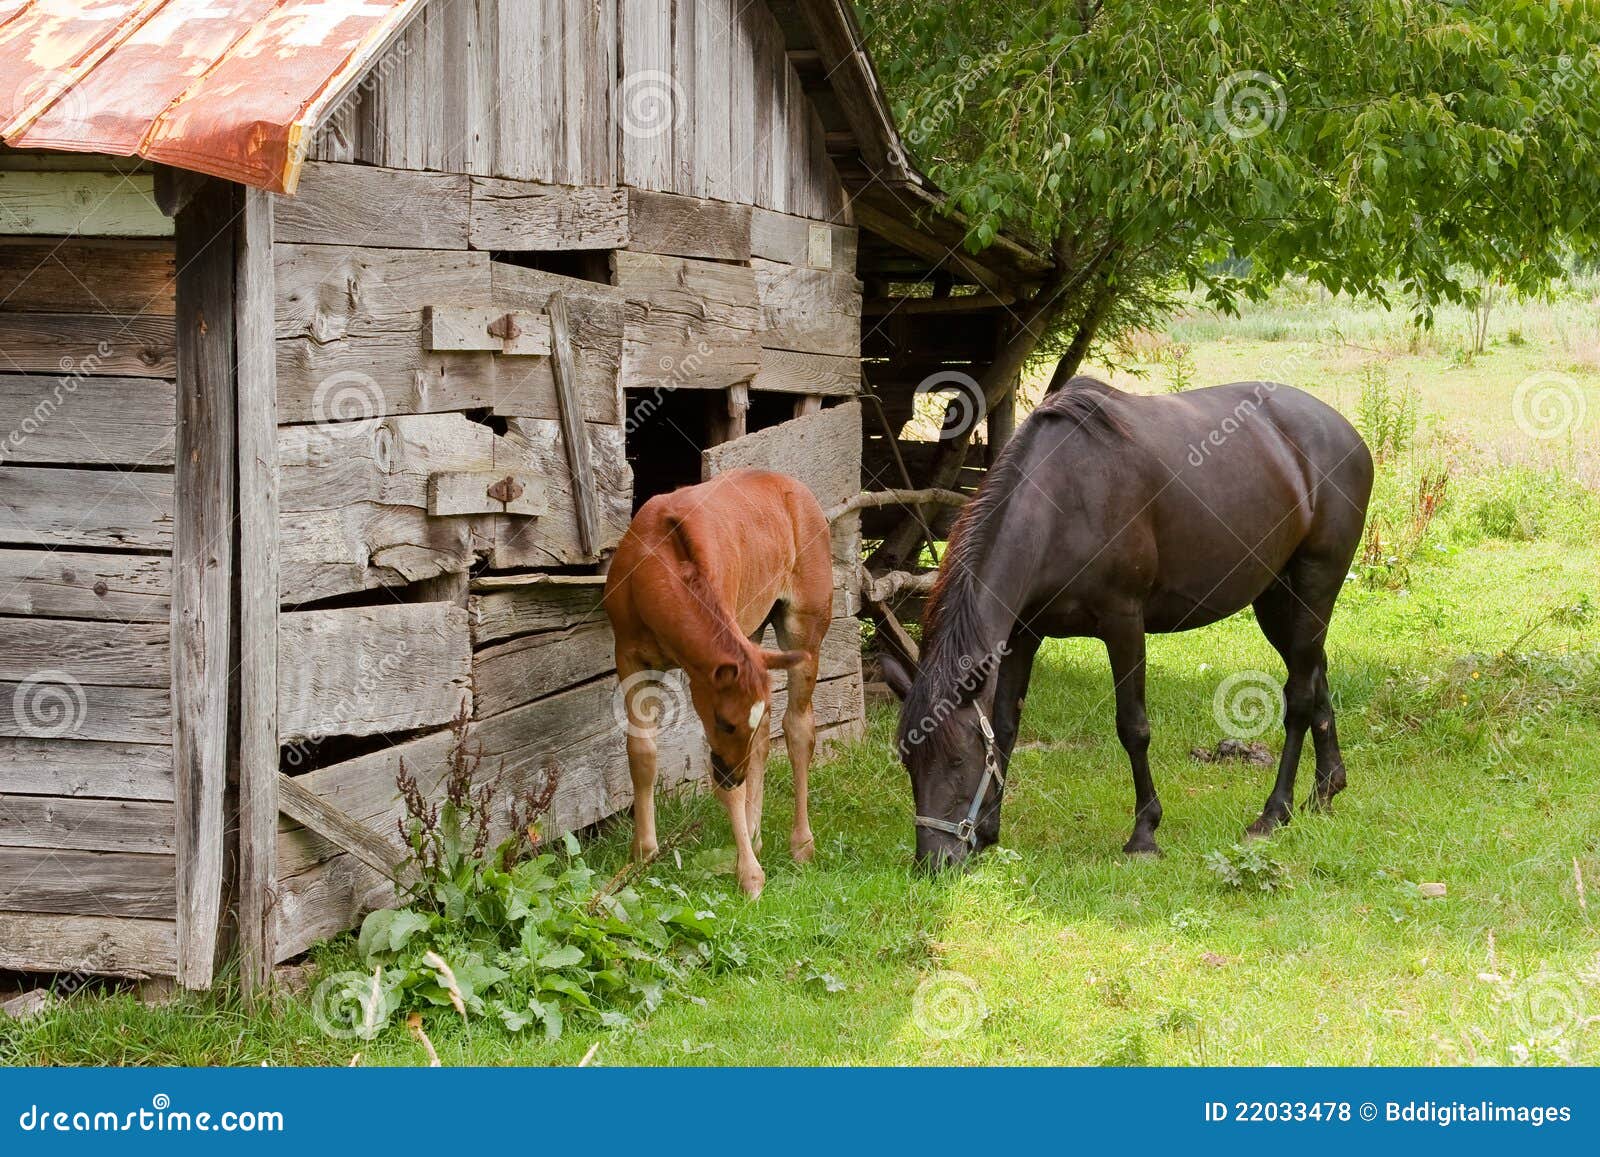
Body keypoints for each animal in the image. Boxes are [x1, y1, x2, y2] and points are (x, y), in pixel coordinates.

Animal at [603, 468, 834, 896]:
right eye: (726, 722)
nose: (732, 775)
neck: (655, 564)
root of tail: (793, 487)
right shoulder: (629, 656)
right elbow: (641, 753)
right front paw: (643, 854)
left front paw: (750, 876)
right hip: (755, 631)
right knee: (767, 736)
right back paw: (756, 835)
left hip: (804, 631)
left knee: (798, 728)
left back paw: (801, 844)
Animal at [882, 377, 1373, 870]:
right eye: (909, 763)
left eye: (956, 761)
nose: (933, 862)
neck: (1061, 501)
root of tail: (1346, 432)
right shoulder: (1023, 635)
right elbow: (1005, 729)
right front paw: (988, 832)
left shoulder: (1123, 623)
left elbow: (1133, 728)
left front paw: (1144, 834)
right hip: (1276, 600)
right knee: (1315, 674)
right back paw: (1325, 791)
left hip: (1315, 585)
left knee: (1300, 697)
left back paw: (1274, 812)